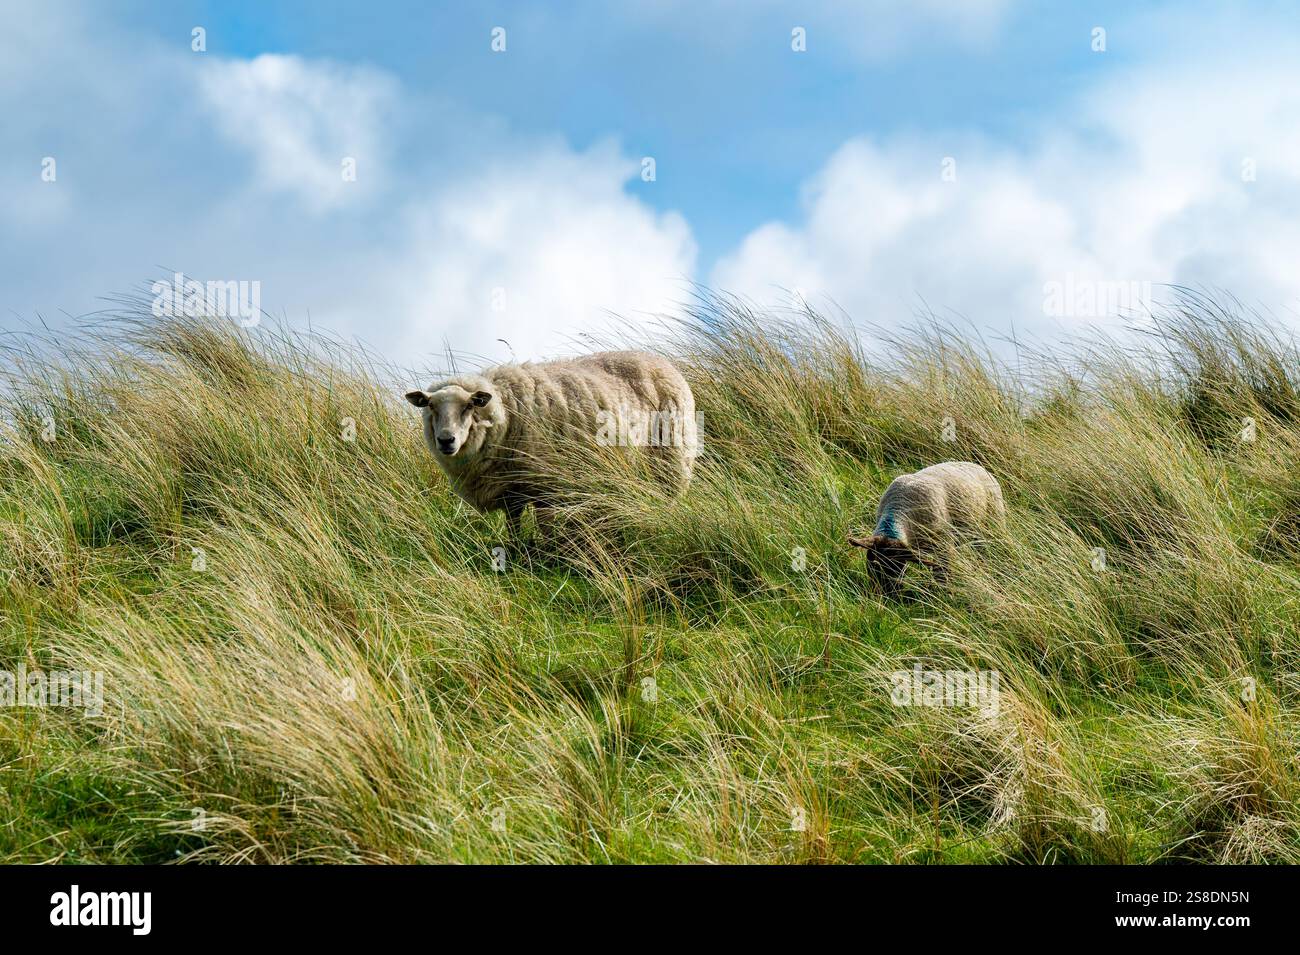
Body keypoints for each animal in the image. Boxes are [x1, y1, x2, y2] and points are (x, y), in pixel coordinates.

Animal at [404, 350, 697, 538]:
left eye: (468, 406)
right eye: (430, 406)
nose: (446, 440)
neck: (505, 413)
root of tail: (663, 363)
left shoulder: (545, 484)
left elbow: (545, 527)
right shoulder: (511, 489)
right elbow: (514, 526)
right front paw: (516, 554)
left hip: (670, 459)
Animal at [847, 461, 1005, 593]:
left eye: (897, 567)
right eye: (871, 564)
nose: (884, 594)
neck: (899, 509)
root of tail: (979, 466)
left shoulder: (944, 544)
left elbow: (943, 571)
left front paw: (943, 593)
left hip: (993, 523)